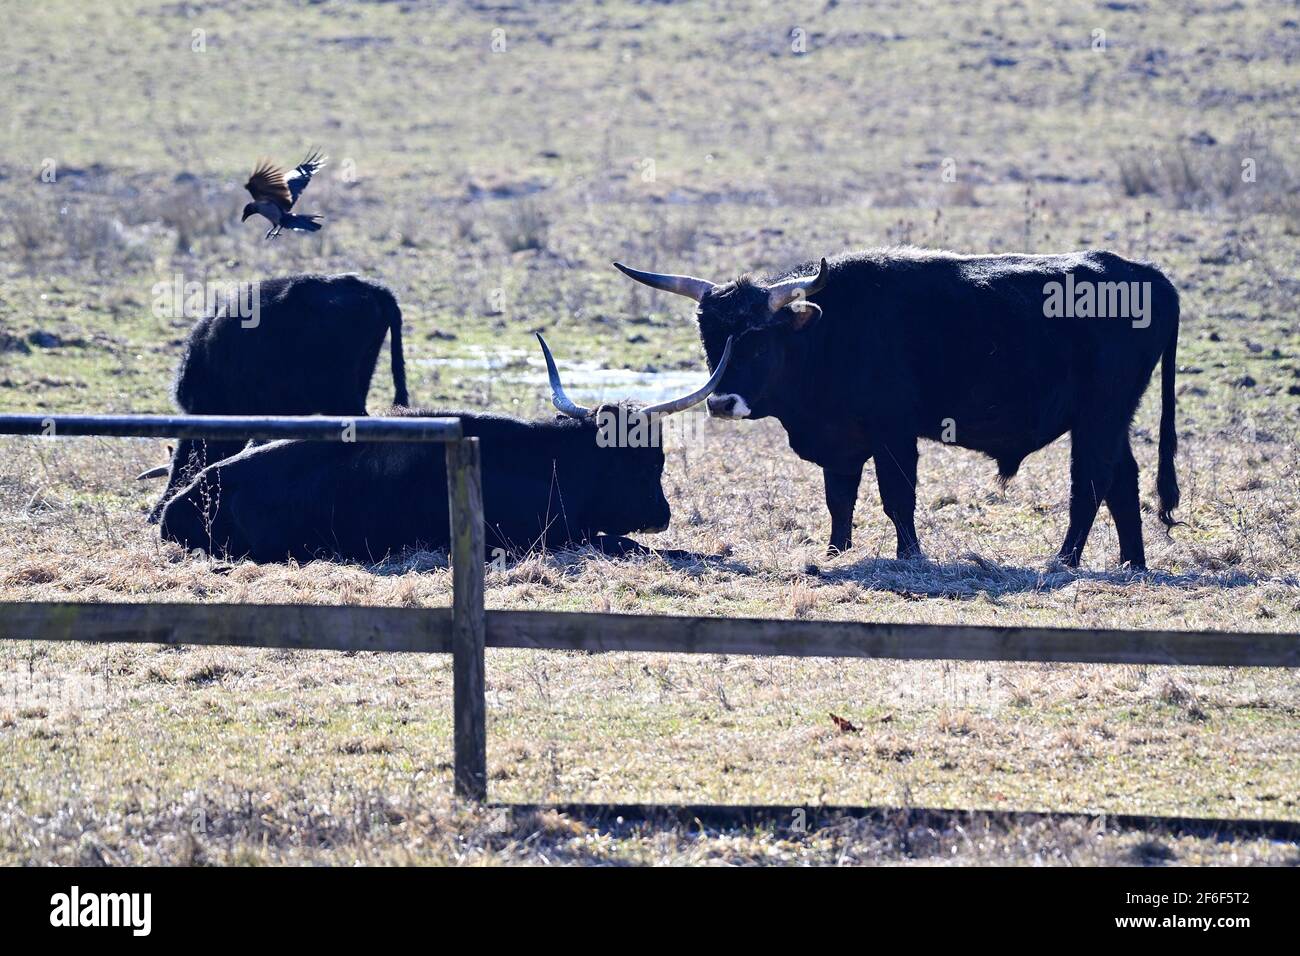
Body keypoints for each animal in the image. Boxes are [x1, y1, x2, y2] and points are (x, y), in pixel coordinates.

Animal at [613, 251, 1185, 572]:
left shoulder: (893, 432)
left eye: (755, 339)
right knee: (1122, 480)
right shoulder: (841, 444)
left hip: (1099, 417)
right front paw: (836, 553)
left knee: (1090, 483)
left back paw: (1064, 561)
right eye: (710, 338)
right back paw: (1133, 563)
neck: (829, 331)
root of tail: (1146, 275)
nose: (721, 402)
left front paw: (908, 556)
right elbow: (839, 501)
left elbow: (896, 497)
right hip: (1111, 419)